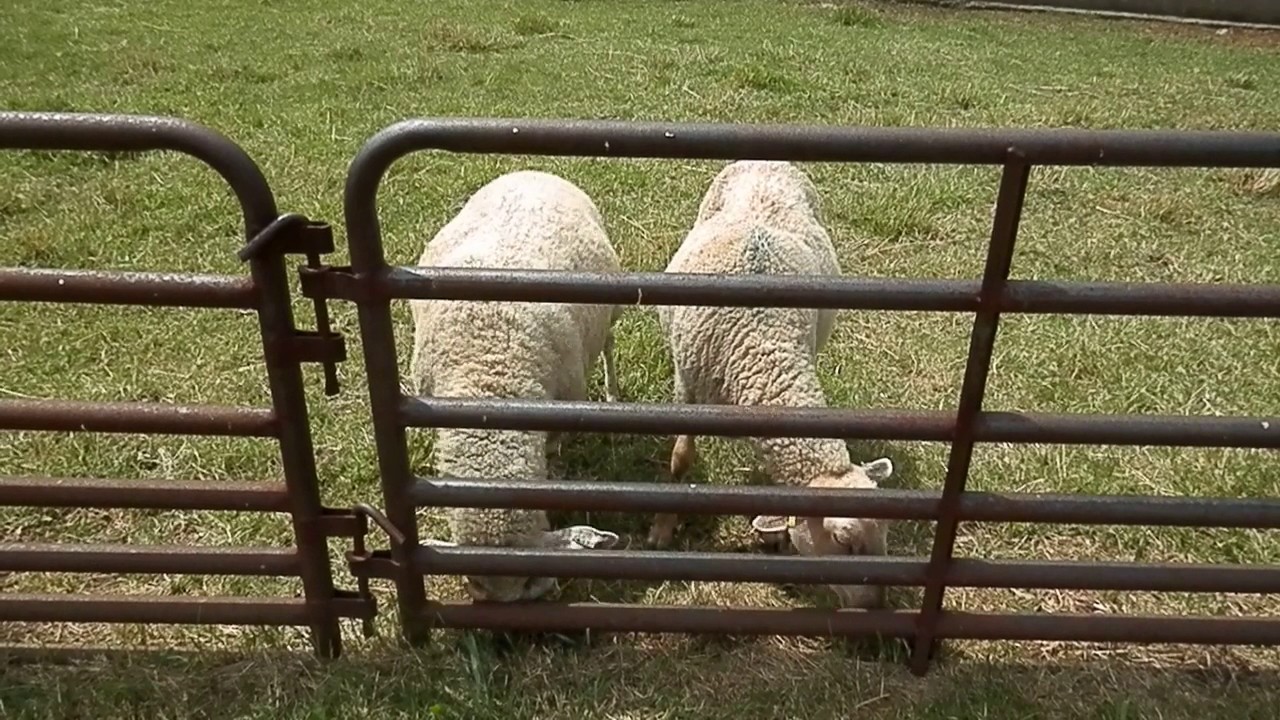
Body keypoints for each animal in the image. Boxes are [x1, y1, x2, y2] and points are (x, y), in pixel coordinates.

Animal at [648, 159, 895, 609]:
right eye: (842, 541)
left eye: (887, 535)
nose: (875, 607)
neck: (761, 346)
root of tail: (766, 163)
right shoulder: (686, 386)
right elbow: (680, 459)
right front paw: (661, 529)